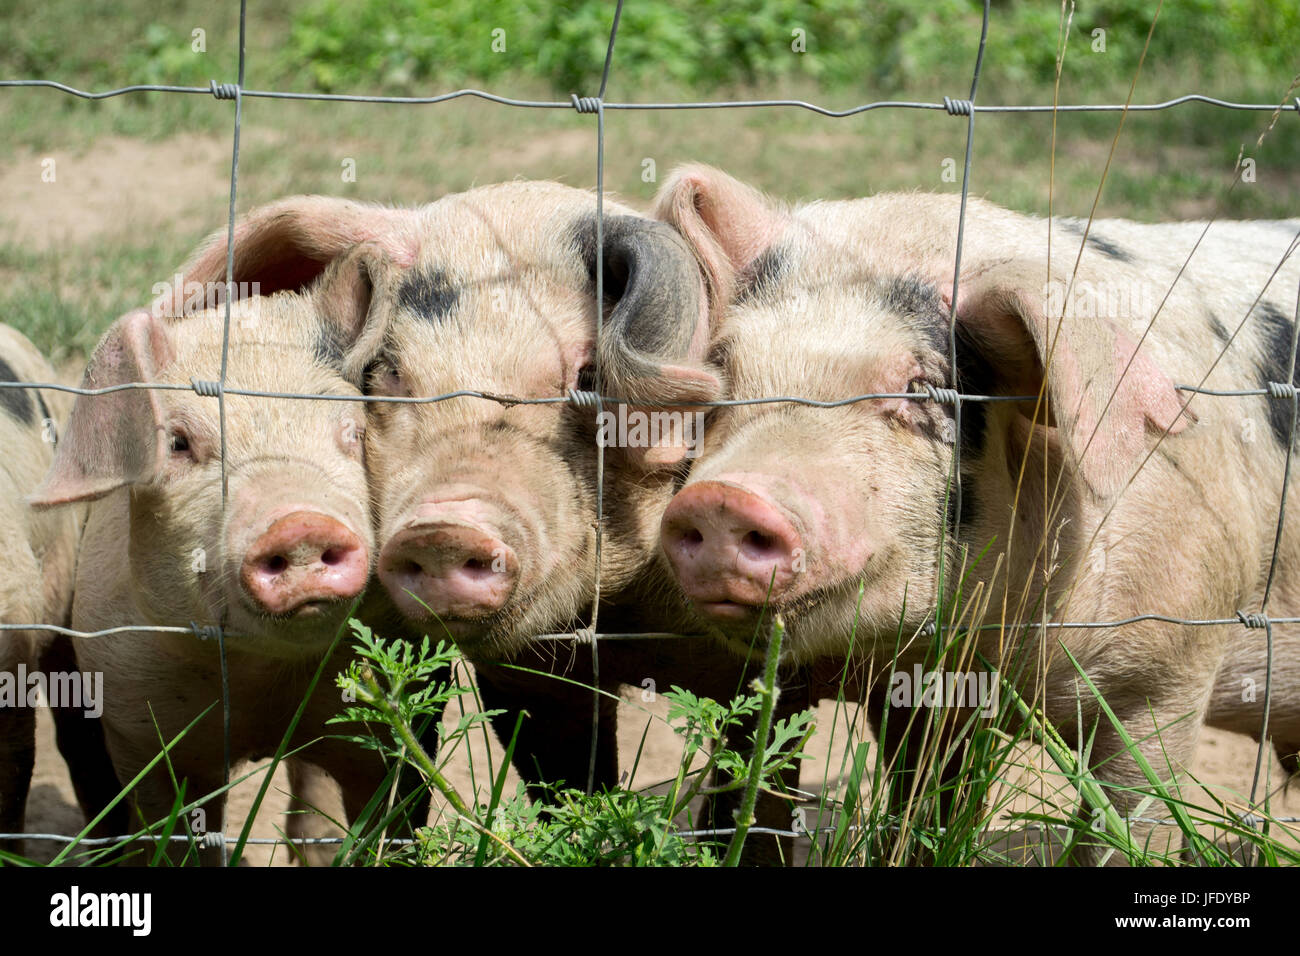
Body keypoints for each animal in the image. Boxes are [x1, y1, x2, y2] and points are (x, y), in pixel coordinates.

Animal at [28, 250, 427, 864]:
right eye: (178, 444)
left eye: (353, 432)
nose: (299, 522)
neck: (263, 680)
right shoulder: (137, 725)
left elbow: (392, 821)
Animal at [652, 164, 1300, 859]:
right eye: (722, 374)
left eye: (923, 389)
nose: (724, 498)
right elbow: (920, 809)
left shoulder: (1175, 660)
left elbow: (1132, 820)